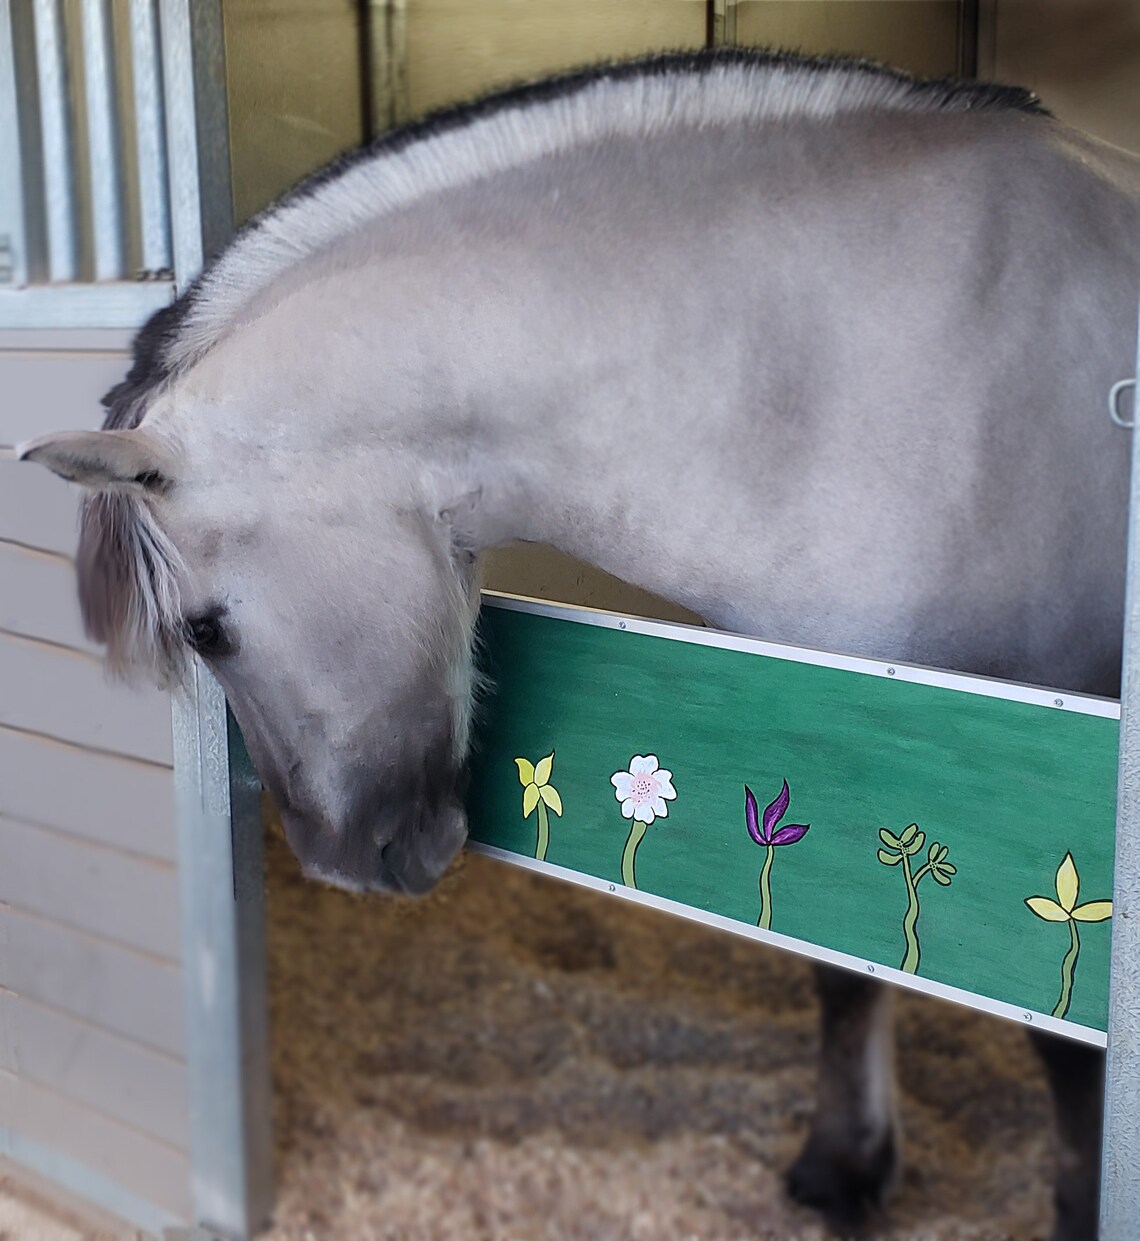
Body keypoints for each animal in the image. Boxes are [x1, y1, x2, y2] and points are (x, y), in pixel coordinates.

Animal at [18, 48, 1140, 1239]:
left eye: (207, 627)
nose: (337, 859)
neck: (849, 372)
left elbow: (1074, 1052)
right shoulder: (827, 718)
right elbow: (841, 967)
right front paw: (844, 1163)